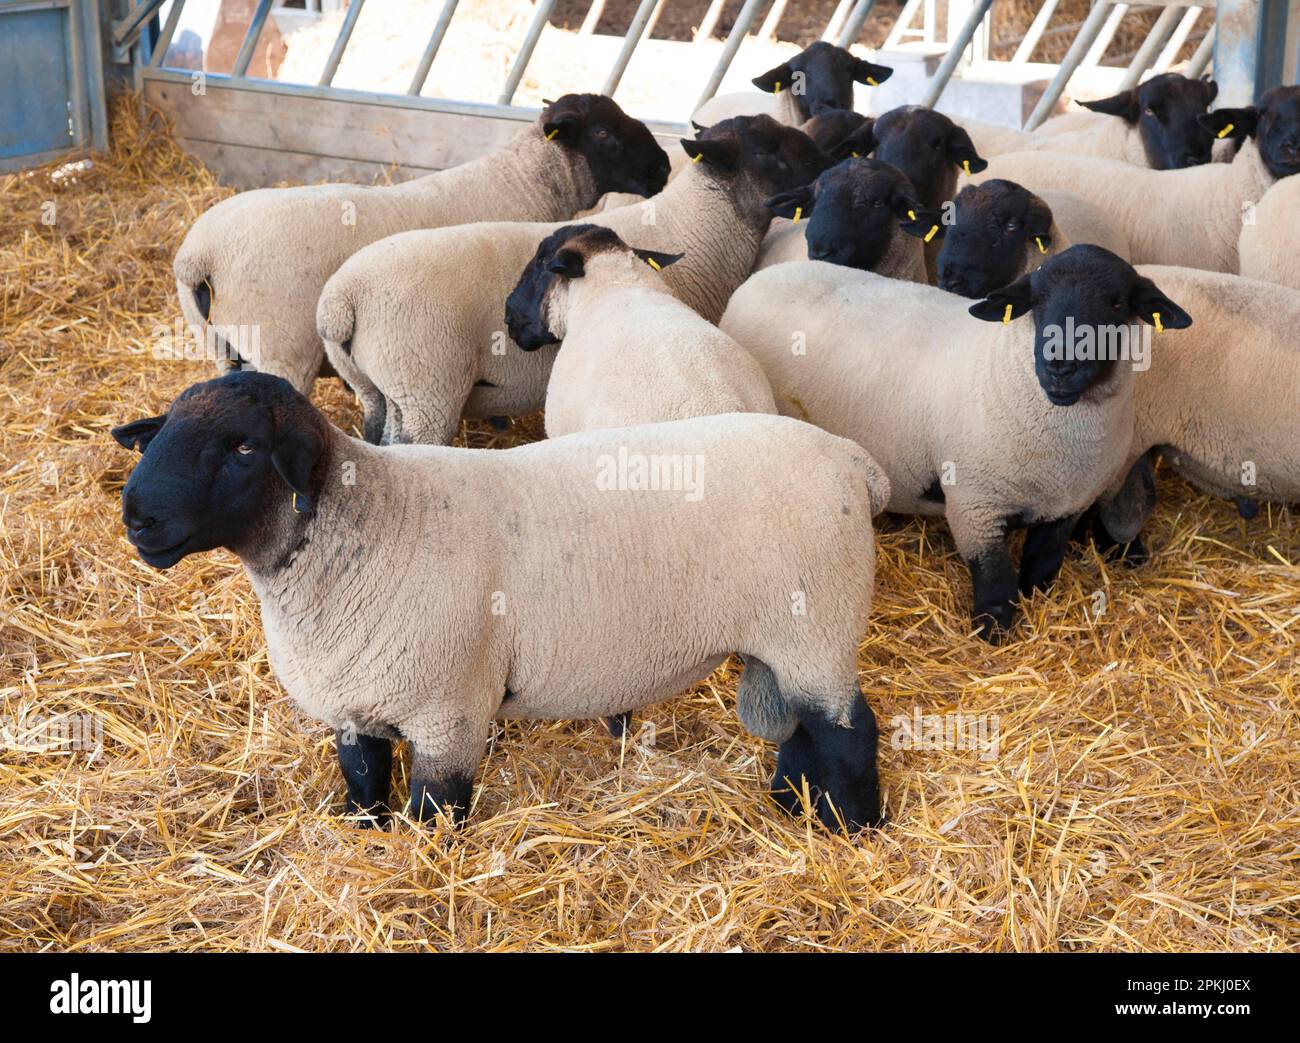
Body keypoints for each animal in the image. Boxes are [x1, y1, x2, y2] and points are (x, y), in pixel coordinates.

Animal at [112, 371, 891, 831]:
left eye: (243, 448)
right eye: (164, 430)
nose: (138, 516)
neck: (368, 526)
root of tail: (854, 461)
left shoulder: (448, 710)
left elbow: (435, 812)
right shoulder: (355, 702)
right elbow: (363, 785)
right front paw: (366, 842)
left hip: (818, 628)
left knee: (849, 730)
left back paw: (855, 827)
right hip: (786, 644)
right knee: (803, 729)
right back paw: (793, 805)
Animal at [172, 94, 671, 394]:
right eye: (603, 133)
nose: (665, 167)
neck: (522, 182)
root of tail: (200, 255)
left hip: (218, 344)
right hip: (279, 348)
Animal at [720, 246, 1192, 640]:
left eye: (1117, 303)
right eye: (1037, 301)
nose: (1059, 365)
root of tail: (759, 278)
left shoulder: (1067, 504)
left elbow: (1042, 565)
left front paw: (1037, 603)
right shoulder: (975, 504)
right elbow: (995, 579)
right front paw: (992, 634)